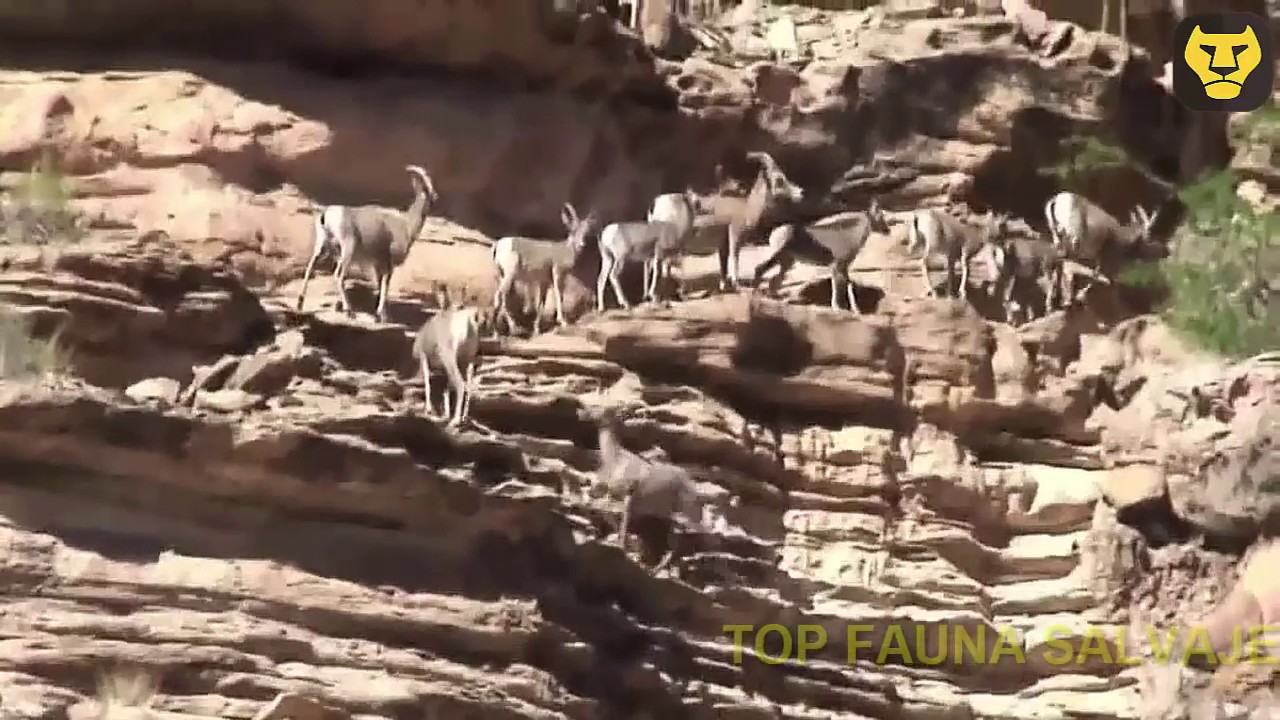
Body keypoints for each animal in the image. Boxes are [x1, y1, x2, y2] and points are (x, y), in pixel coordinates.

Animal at [296, 165, 439, 323]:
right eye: (427, 188)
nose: (436, 196)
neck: (406, 225)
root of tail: (326, 215)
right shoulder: (388, 265)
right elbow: (385, 287)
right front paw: (384, 316)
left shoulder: (378, 264)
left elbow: (379, 285)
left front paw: (379, 315)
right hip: (348, 249)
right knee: (339, 276)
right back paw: (349, 312)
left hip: (323, 248)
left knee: (310, 268)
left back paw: (300, 303)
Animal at [491, 202, 595, 335]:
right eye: (573, 230)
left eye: (585, 231)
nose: (581, 244)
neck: (566, 250)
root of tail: (499, 245)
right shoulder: (558, 274)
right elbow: (559, 296)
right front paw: (563, 322)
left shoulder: (544, 282)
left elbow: (541, 303)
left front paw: (536, 329)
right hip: (510, 275)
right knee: (499, 297)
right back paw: (509, 329)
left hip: (503, 275)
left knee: (502, 297)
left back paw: (503, 331)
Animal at [578, 404, 708, 572]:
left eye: (599, 408)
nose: (580, 412)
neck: (615, 459)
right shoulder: (616, 495)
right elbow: (609, 515)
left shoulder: (629, 495)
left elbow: (623, 523)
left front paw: (622, 547)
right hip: (667, 515)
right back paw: (658, 567)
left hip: (685, 513)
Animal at [752, 201, 890, 313]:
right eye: (880, 216)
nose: (888, 231)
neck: (852, 237)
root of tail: (774, 232)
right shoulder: (836, 266)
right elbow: (837, 287)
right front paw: (837, 308)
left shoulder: (844, 267)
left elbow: (849, 286)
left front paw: (856, 310)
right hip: (778, 254)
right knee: (759, 268)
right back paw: (756, 294)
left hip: (786, 261)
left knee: (774, 279)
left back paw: (775, 297)